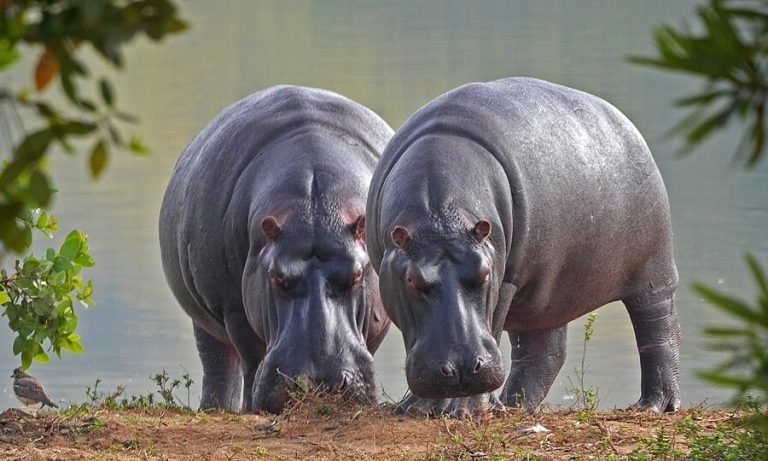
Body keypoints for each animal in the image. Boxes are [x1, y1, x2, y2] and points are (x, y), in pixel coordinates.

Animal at [159, 86, 393, 413]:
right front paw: (251, 408)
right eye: (276, 276)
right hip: (205, 320)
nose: (318, 383)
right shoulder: (234, 309)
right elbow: (252, 356)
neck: (315, 208)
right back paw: (216, 409)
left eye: (358, 274)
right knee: (219, 366)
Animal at [366, 77, 680, 417]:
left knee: (659, 330)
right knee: (544, 350)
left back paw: (654, 406)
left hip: (653, 270)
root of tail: (624, 123)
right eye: (411, 279)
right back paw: (513, 406)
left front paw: (464, 409)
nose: (462, 369)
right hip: (546, 292)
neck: (440, 216)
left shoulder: (505, 279)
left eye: (484, 273)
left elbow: (492, 323)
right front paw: (416, 406)